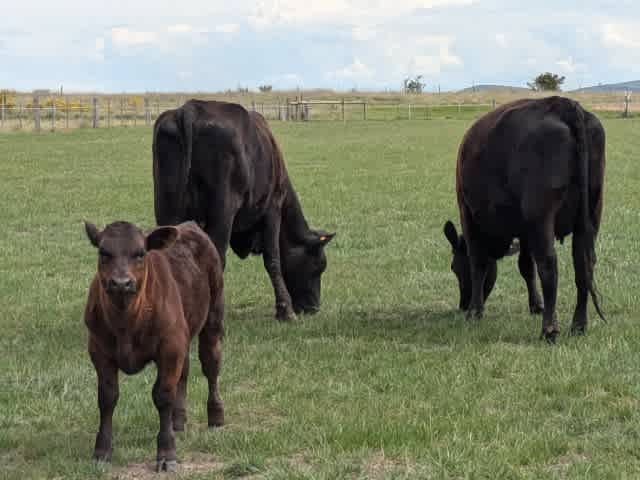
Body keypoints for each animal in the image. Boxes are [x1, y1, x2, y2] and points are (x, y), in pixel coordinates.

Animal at [83, 221, 224, 472]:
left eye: (140, 253)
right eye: (104, 252)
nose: (121, 283)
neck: (126, 323)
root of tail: (189, 225)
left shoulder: (169, 349)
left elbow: (163, 396)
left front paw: (166, 452)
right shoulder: (99, 351)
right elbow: (107, 397)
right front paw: (102, 450)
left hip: (213, 319)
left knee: (211, 366)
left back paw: (216, 416)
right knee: (184, 373)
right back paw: (178, 421)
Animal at [152, 100, 335, 322]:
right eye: (318, 266)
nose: (313, 307)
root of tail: (190, 108)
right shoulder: (273, 208)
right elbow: (273, 259)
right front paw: (286, 311)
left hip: (167, 209)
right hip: (223, 211)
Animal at [443, 96, 605, 342]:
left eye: (454, 267)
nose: (462, 305)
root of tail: (562, 104)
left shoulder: (468, 215)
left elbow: (478, 263)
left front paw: (475, 311)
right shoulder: (525, 230)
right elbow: (526, 267)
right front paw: (535, 305)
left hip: (541, 216)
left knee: (549, 265)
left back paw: (549, 329)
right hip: (590, 214)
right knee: (583, 265)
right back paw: (578, 325)